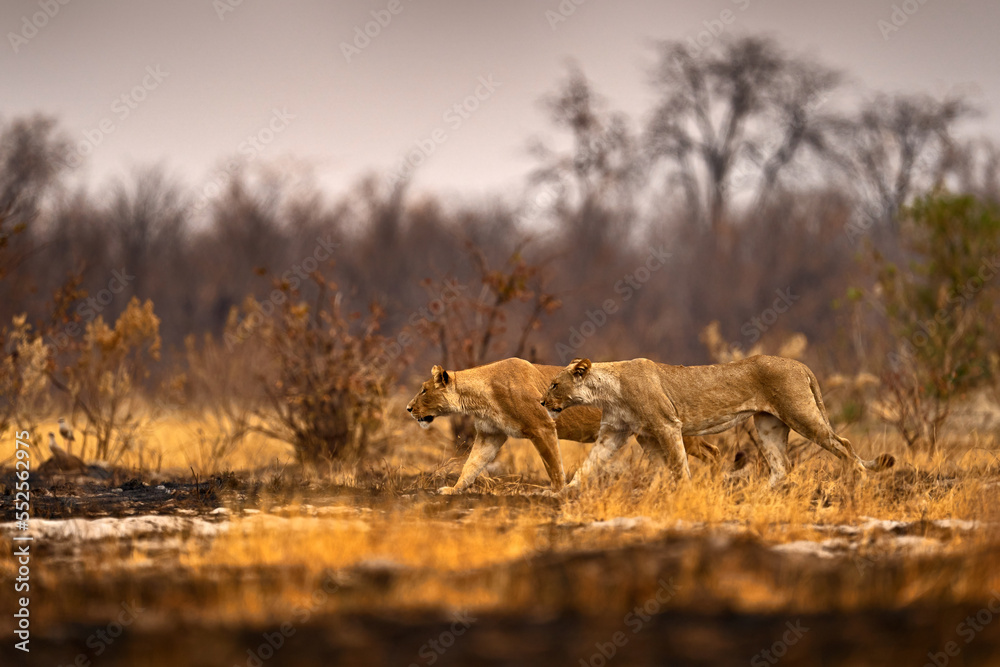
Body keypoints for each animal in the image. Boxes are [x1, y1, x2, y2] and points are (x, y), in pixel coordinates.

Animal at [406, 358, 720, 495]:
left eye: (423, 390)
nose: (408, 408)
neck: (478, 397)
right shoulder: (489, 435)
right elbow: (471, 465)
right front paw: (454, 490)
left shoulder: (542, 426)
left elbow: (553, 463)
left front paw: (557, 490)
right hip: (645, 434)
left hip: (674, 427)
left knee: (711, 450)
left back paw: (720, 479)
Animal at [540, 355, 895, 489]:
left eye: (554, 384)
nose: (541, 402)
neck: (607, 390)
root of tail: (800, 364)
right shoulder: (618, 433)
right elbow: (590, 464)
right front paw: (567, 492)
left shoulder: (667, 425)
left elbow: (678, 465)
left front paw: (684, 492)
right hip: (767, 424)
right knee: (781, 466)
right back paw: (756, 497)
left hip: (800, 413)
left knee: (844, 445)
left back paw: (858, 481)